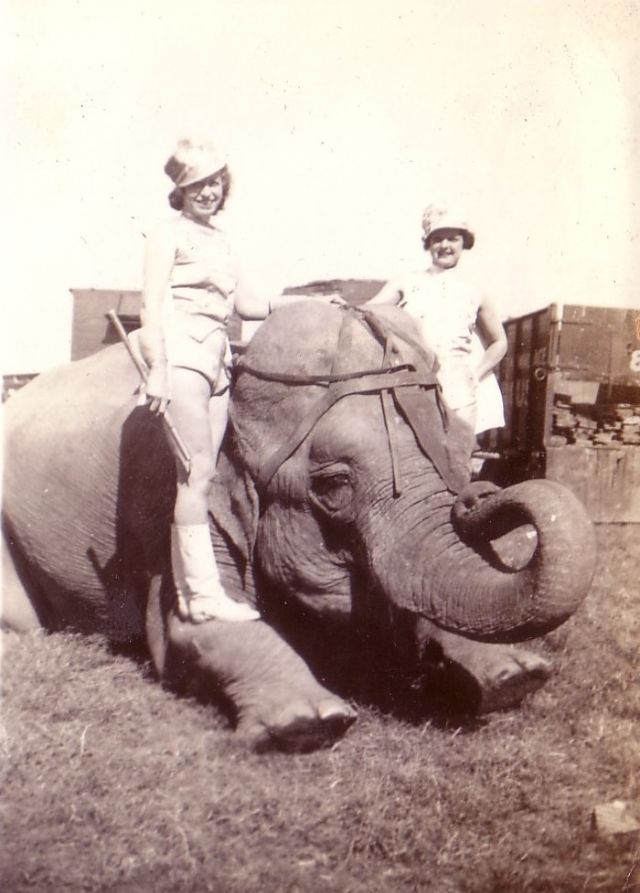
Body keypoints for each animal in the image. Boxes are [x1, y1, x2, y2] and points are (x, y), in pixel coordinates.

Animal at [2, 299, 597, 751]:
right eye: (333, 485)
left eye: (458, 455)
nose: (483, 494)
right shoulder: (172, 494)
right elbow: (191, 627)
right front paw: (307, 723)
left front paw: (514, 676)